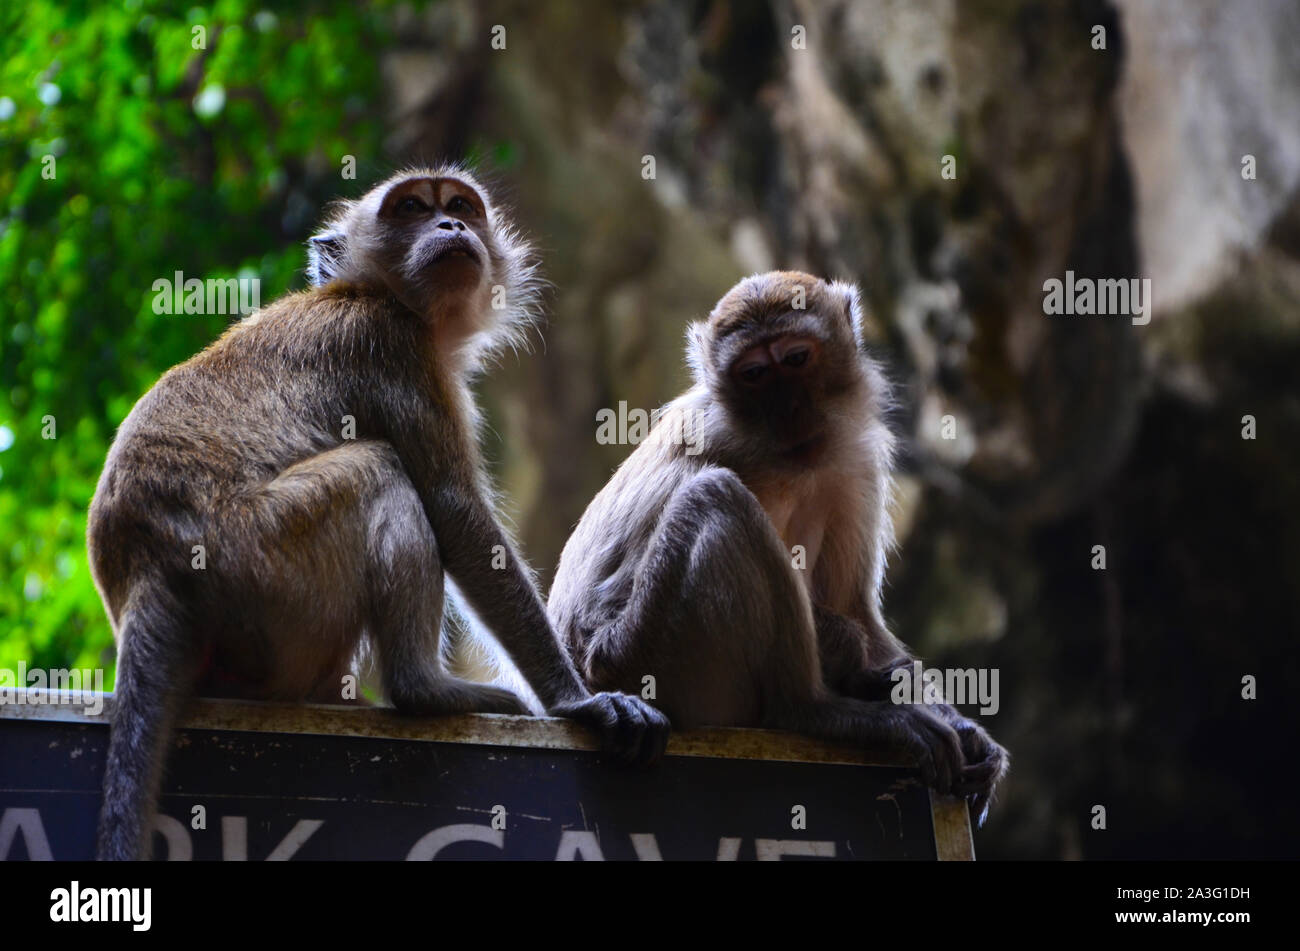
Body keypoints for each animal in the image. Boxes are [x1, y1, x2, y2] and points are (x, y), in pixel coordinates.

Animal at [88, 165, 670, 861]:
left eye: (461, 206)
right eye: (412, 208)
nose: (450, 225)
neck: (371, 290)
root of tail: (145, 572)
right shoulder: (390, 345)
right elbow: (456, 514)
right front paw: (577, 703)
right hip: (260, 557)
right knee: (380, 470)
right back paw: (426, 691)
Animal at [549, 271, 1007, 823]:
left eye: (795, 359)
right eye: (753, 373)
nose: (788, 408)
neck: (789, 461)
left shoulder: (851, 462)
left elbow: (852, 606)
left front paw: (961, 726)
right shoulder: (717, 440)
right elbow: (602, 599)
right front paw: (858, 668)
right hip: (641, 655)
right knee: (714, 498)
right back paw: (817, 712)